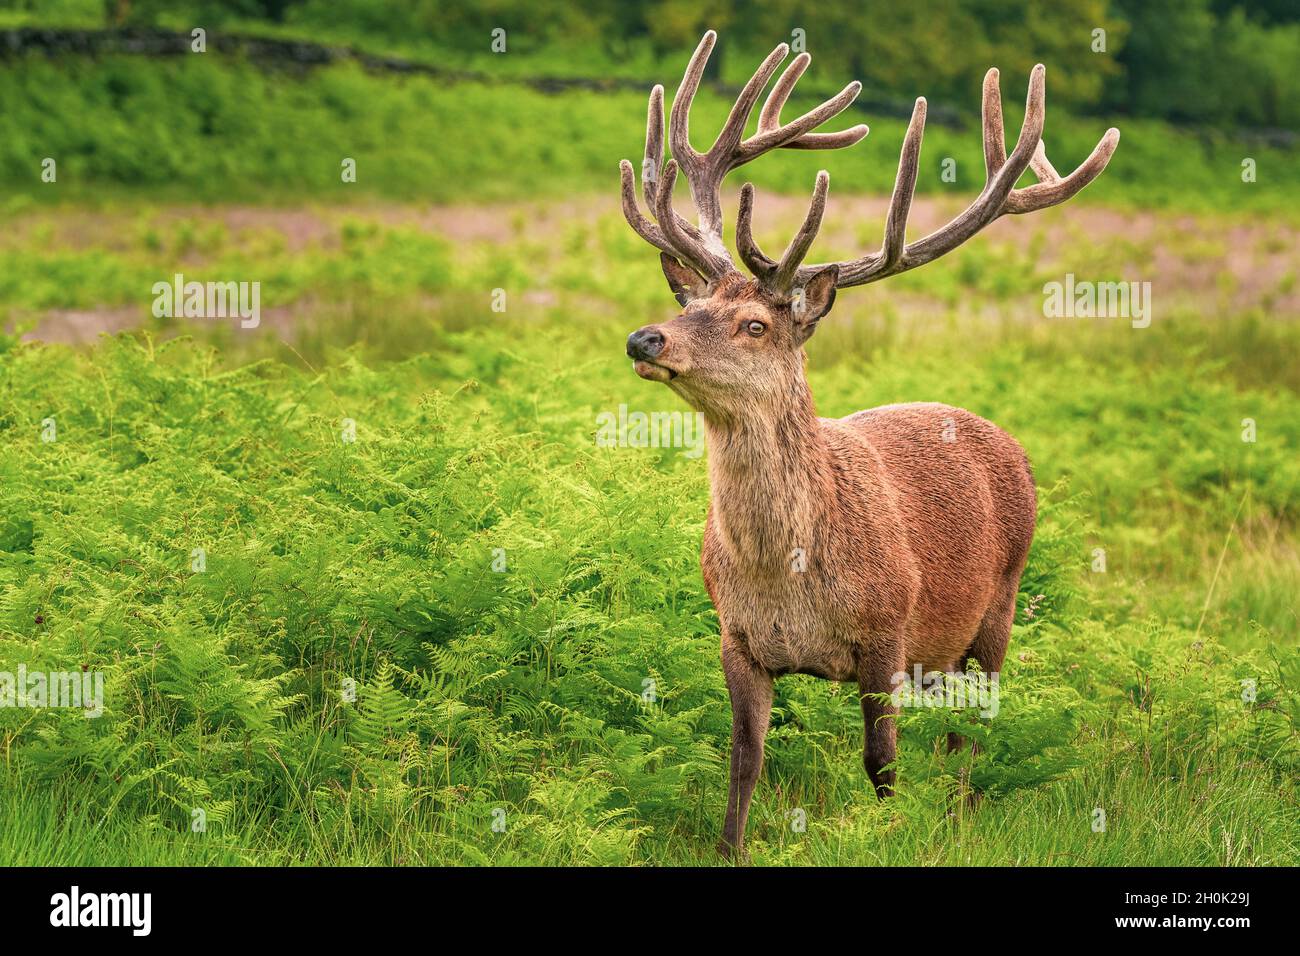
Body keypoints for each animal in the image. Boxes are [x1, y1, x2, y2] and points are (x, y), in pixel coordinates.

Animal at [619, 31, 1119, 856]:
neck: (786, 574)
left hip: (1000, 602)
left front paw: (891, 834)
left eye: (755, 324)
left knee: (970, 728)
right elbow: (744, 758)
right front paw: (729, 848)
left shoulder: (888, 629)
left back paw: (958, 814)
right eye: (687, 303)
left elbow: (880, 759)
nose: (645, 337)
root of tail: (1006, 441)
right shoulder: (736, 637)